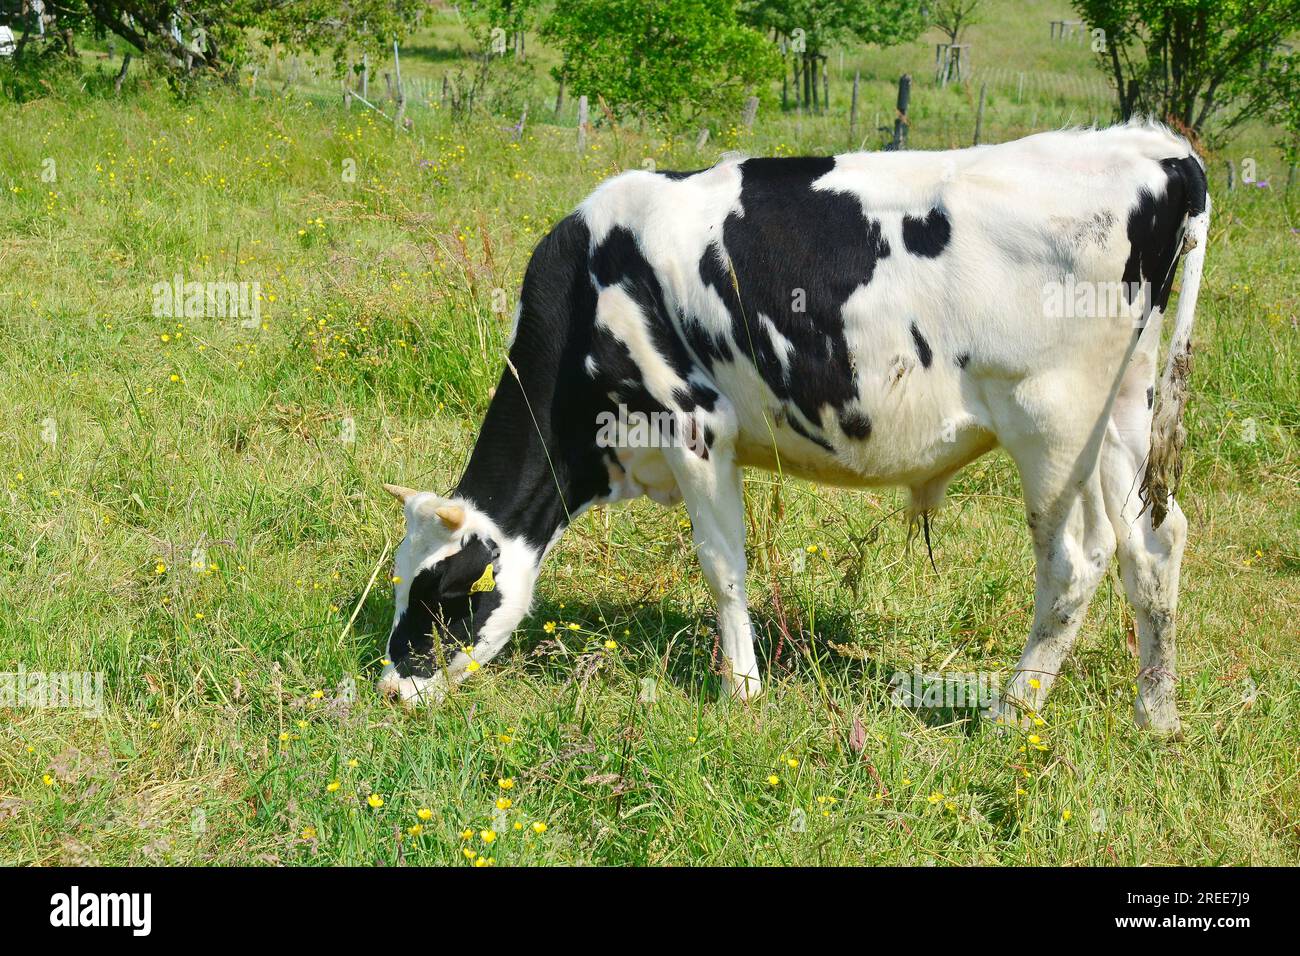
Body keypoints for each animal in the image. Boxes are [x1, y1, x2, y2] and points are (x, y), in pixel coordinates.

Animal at [378, 120, 1210, 736]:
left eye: (442, 593)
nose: (389, 690)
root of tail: (1152, 148)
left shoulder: (694, 423)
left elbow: (722, 566)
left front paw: (741, 693)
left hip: (1051, 419)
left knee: (1076, 559)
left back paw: (1010, 712)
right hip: (1123, 408)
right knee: (1155, 544)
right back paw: (1157, 715)